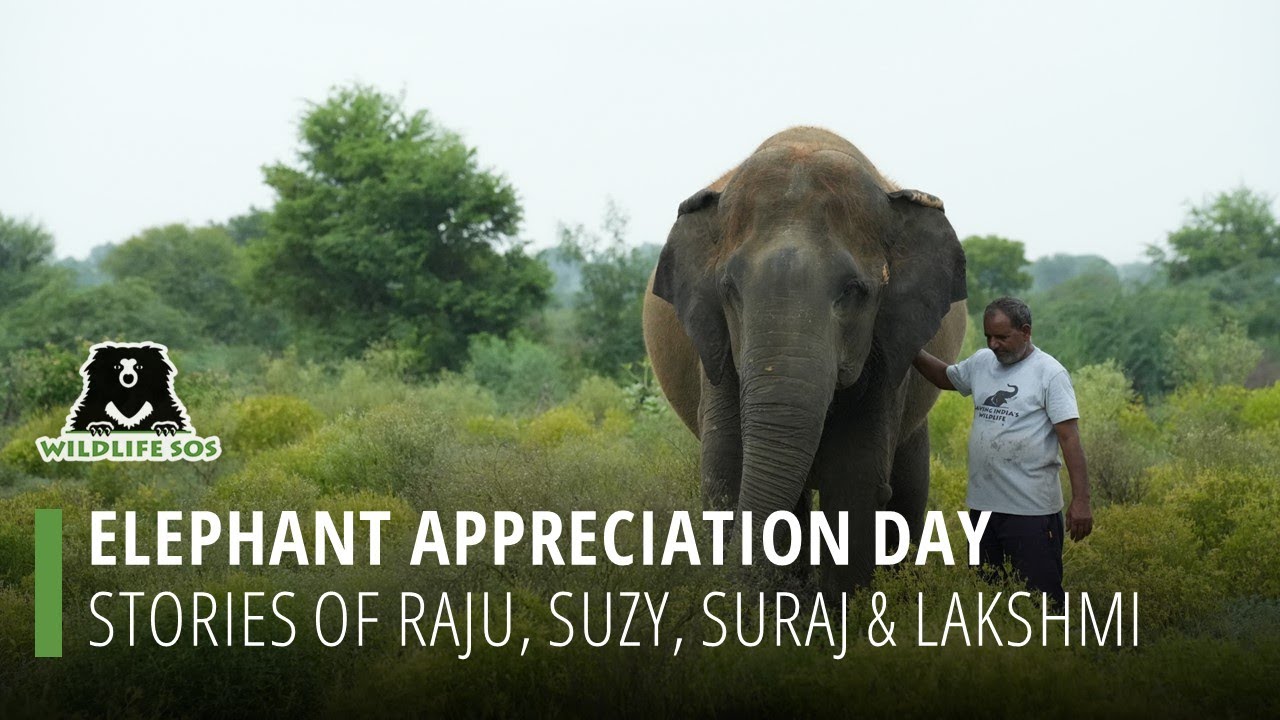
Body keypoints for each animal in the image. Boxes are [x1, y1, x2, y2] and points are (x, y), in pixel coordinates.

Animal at [642, 126, 967, 594]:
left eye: (853, 291)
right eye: (729, 290)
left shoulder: (888, 350)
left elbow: (855, 480)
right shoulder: (714, 346)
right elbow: (727, 469)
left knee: (907, 496)